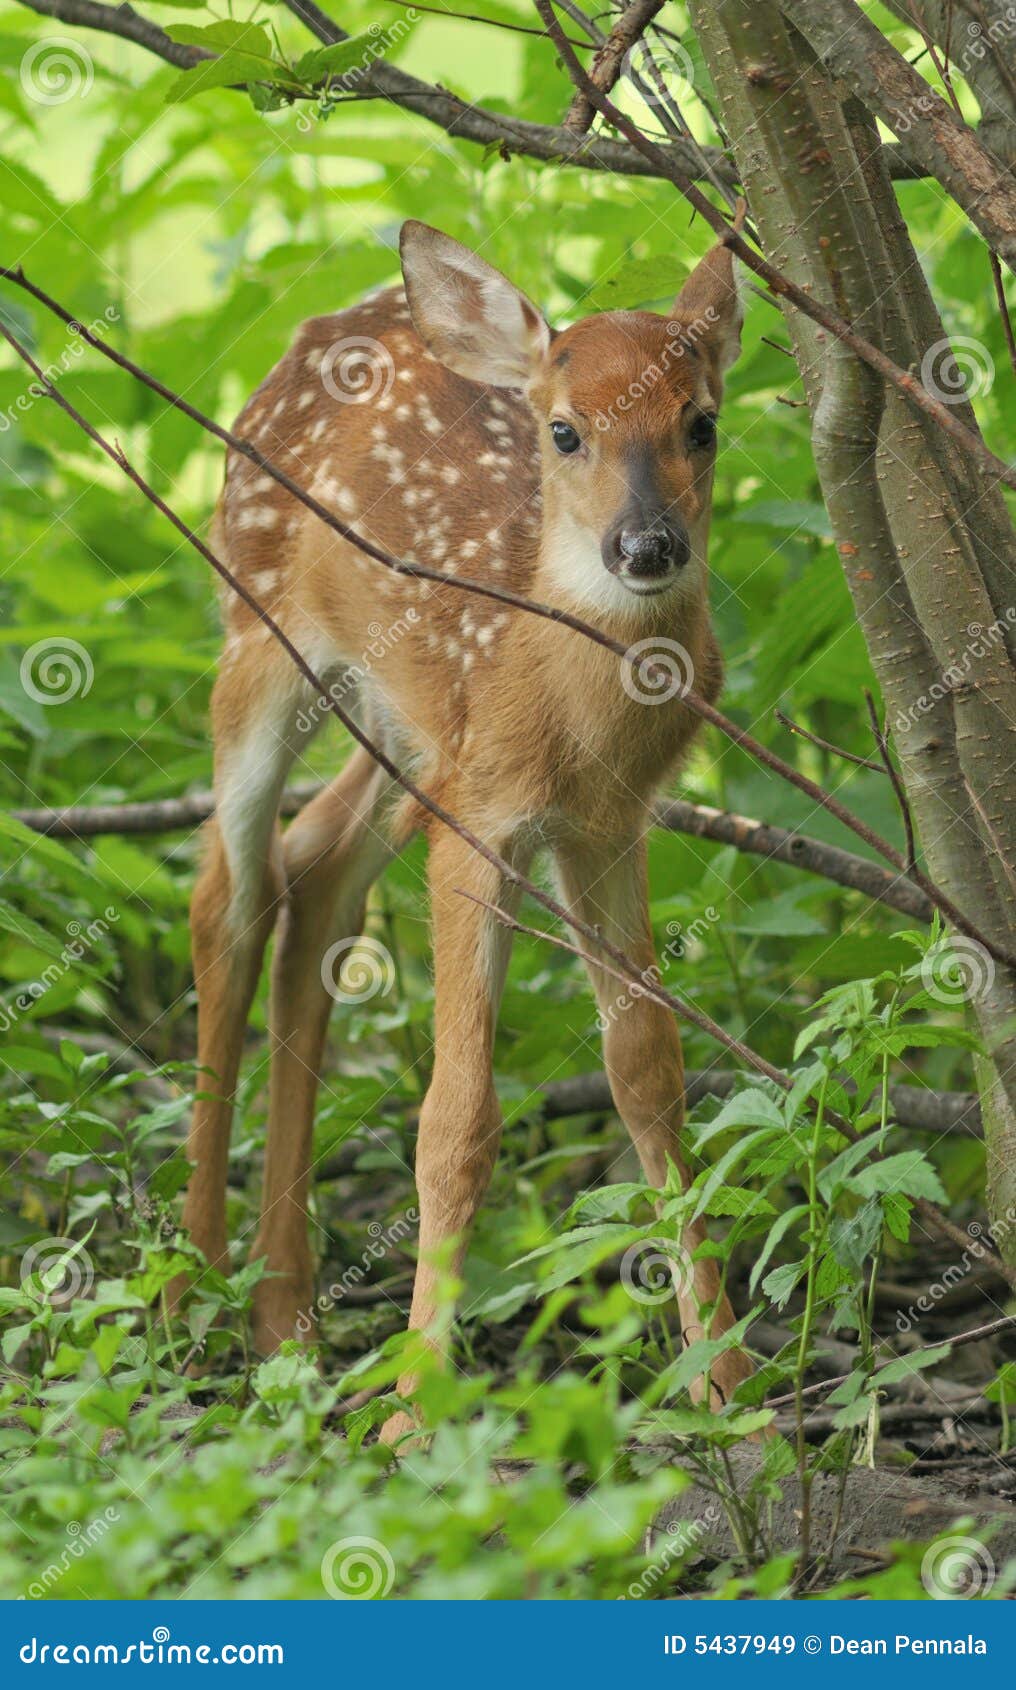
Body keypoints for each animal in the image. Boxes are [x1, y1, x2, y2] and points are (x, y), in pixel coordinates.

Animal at [177, 219, 752, 1444]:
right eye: (565, 430)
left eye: (702, 422)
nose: (646, 548)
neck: (561, 703)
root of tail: (325, 326)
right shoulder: (477, 823)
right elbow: (455, 1117)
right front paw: (411, 1412)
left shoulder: (604, 826)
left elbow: (648, 1070)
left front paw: (729, 1383)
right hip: (255, 627)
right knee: (228, 892)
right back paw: (187, 1287)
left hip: (396, 731)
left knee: (315, 873)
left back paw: (283, 1311)